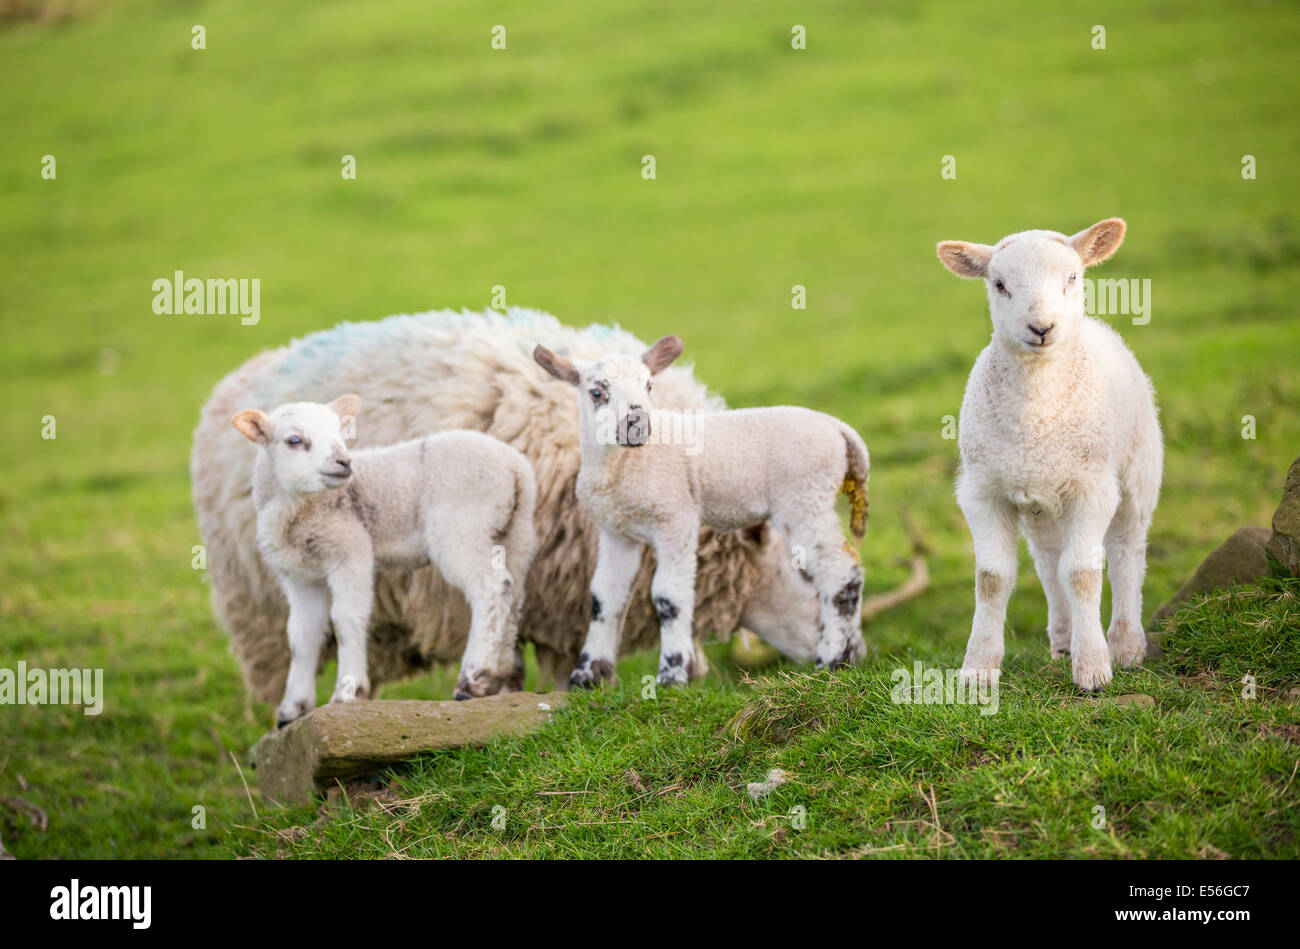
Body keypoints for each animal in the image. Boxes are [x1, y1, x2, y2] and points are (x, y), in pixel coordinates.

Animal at [230, 395, 537, 724]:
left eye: (340, 434)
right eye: (294, 440)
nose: (345, 463)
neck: (298, 508)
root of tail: (516, 467)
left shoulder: (351, 551)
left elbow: (345, 619)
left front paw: (348, 693)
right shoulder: (301, 578)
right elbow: (301, 636)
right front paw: (293, 709)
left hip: (460, 526)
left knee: (491, 588)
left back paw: (473, 679)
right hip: (515, 533)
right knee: (513, 596)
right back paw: (497, 678)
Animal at [533, 335, 871, 686]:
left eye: (649, 386)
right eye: (596, 392)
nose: (637, 425)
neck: (624, 465)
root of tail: (841, 430)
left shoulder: (676, 518)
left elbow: (669, 595)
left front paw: (672, 674)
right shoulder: (616, 533)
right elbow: (603, 597)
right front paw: (587, 676)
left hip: (804, 499)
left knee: (841, 570)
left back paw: (833, 660)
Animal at [936, 218, 1162, 691]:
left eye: (1072, 277)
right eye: (999, 284)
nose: (1042, 327)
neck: (1036, 419)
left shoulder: (1093, 488)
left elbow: (1084, 575)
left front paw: (1094, 668)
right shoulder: (983, 491)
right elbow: (992, 579)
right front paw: (978, 669)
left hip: (1137, 469)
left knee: (1126, 550)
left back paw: (1126, 643)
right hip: (1041, 499)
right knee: (1048, 560)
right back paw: (1062, 639)